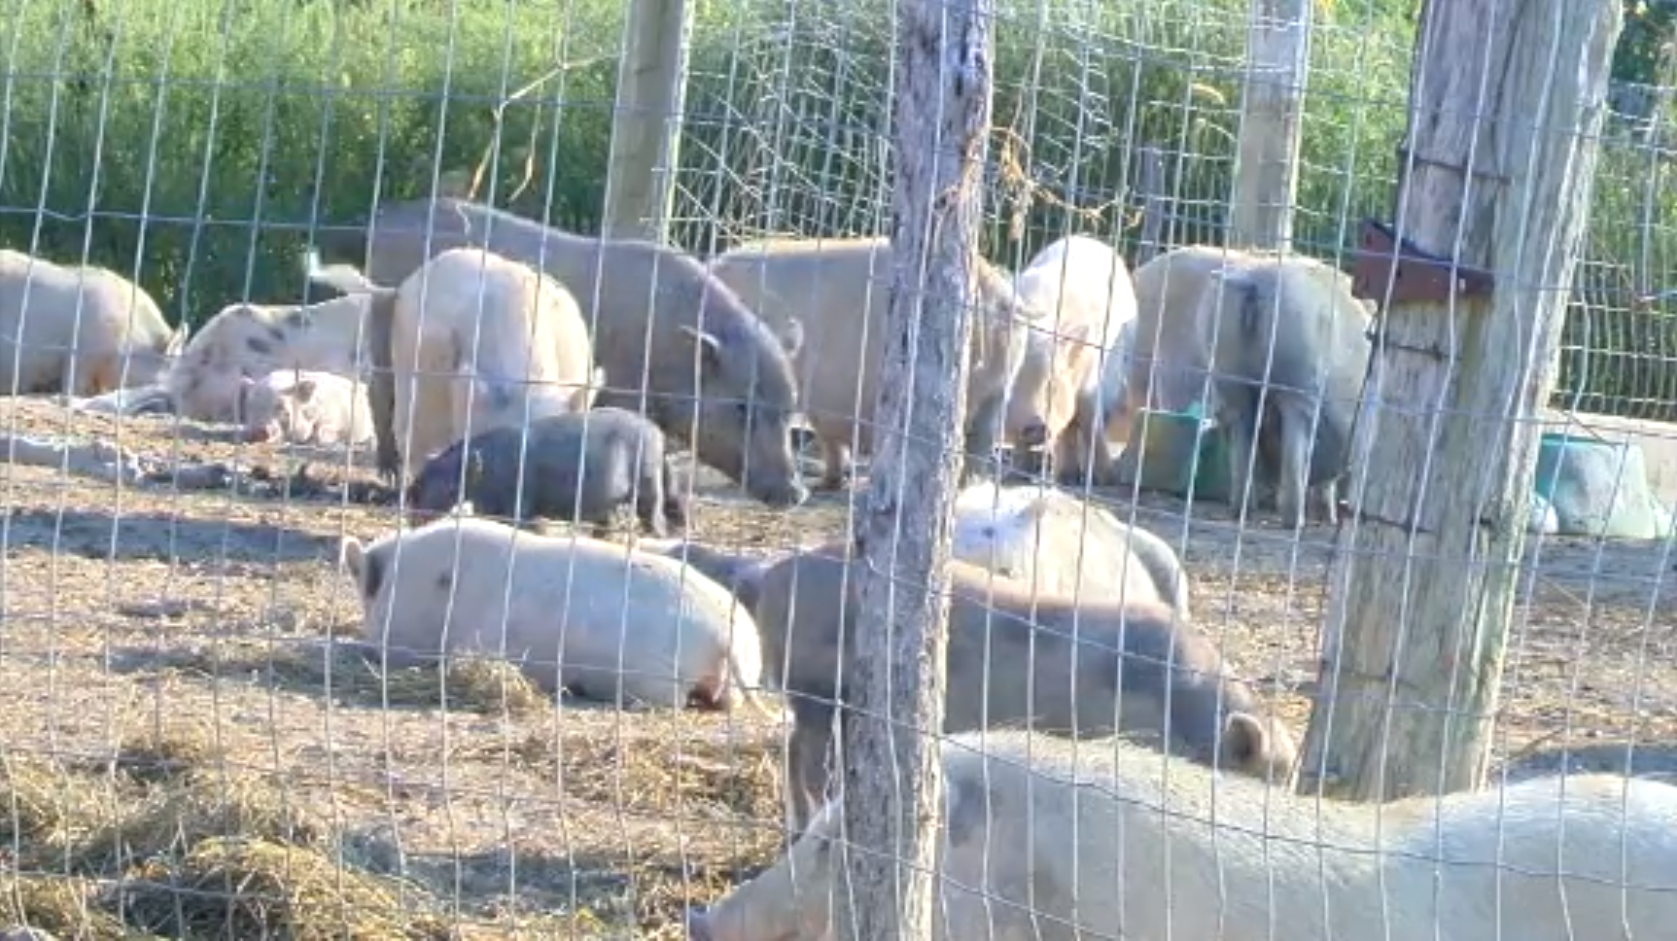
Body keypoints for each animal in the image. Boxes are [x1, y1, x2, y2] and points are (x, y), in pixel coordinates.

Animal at [405, 406, 687, 537]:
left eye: (452, 487)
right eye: (420, 482)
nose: (413, 518)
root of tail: (658, 432)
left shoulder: (518, 502)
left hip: (648, 483)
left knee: (653, 512)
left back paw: (660, 534)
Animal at [1003, 235, 1139, 486]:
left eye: (1051, 383)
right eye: (1008, 380)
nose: (1034, 425)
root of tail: (1087, 237)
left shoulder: (1092, 380)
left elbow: (1090, 421)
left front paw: (1106, 479)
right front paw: (1015, 475)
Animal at [1128, 245, 1373, 528]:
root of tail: (1253, 282)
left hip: (1226, 366)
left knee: (1240, 427)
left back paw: (1243, 511)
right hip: (1296, 378)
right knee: (1295, 438)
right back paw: (1294, 520)